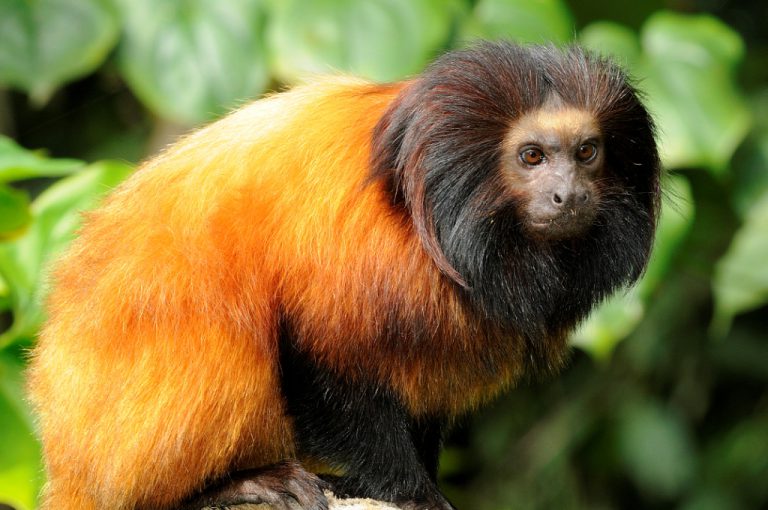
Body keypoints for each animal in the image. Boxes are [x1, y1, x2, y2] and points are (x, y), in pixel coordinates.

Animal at [26, 42, 660, 510]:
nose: (567, 194)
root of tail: (67, 460)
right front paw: (412, 492)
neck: (425, 214)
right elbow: (310, 352)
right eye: (532, 156)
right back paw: (228, 485)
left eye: (586, 153)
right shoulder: (350, 247)